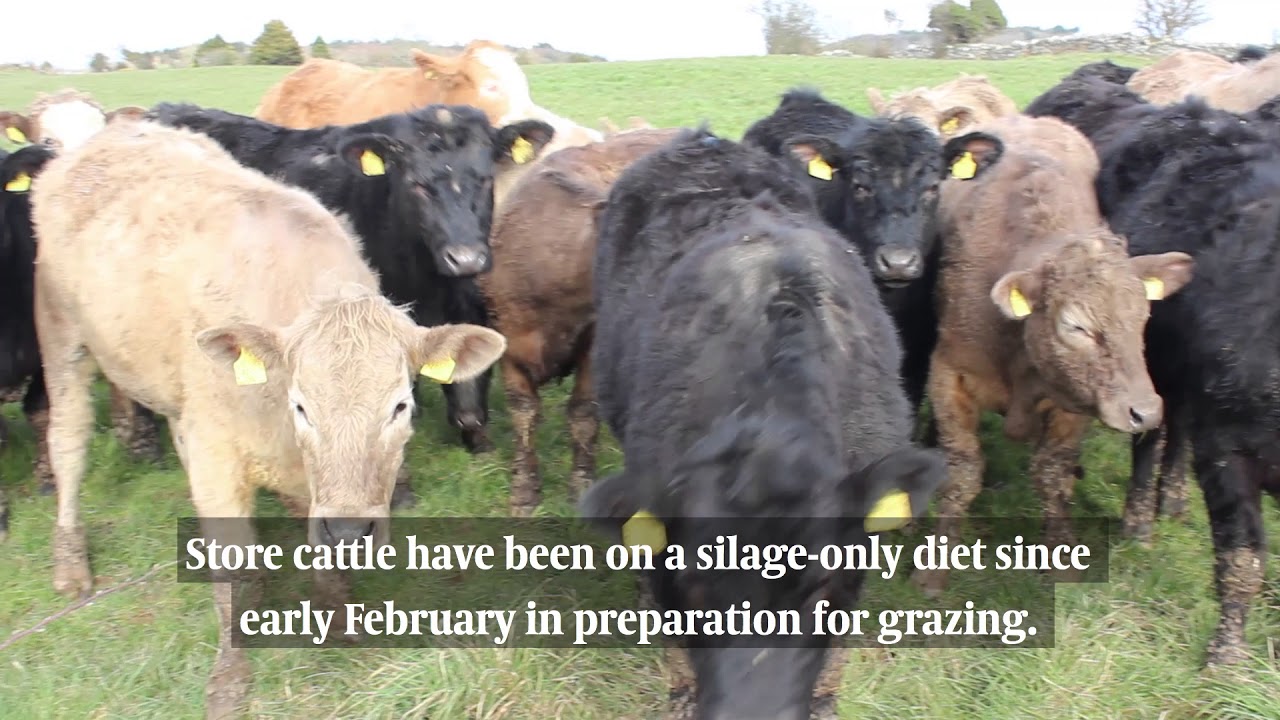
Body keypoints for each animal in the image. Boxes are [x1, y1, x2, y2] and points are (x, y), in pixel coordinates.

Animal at [31, 119, 506, 718]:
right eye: (301, 404)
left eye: (400, 405)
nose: (351, 531)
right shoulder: (217, 459)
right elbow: (230, 560)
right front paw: (230, 675)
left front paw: (337, 612)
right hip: (61, 335)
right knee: (68, 443)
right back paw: (70, 561)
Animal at [479, 128, 682, 515]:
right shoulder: (508, 345)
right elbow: (523, 413)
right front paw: (524, 491)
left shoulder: (594, 344)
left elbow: (584, 414)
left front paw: (581, 487)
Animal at [916, 115, 1194, 597]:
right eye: (1076, 326)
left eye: (1142, 317)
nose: (1145, 411)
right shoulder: (950, 374)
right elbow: (963, 471)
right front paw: (934, 568)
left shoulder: (1076, 400)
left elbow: (1051, 474)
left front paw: (1062, 556)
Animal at [1091, 100, 1280, 667]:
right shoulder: (1228, 446)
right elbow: (1241, 559)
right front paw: (1225, 659)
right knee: (1151, 441)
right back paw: (1139, 525)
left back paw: (1170, 503)